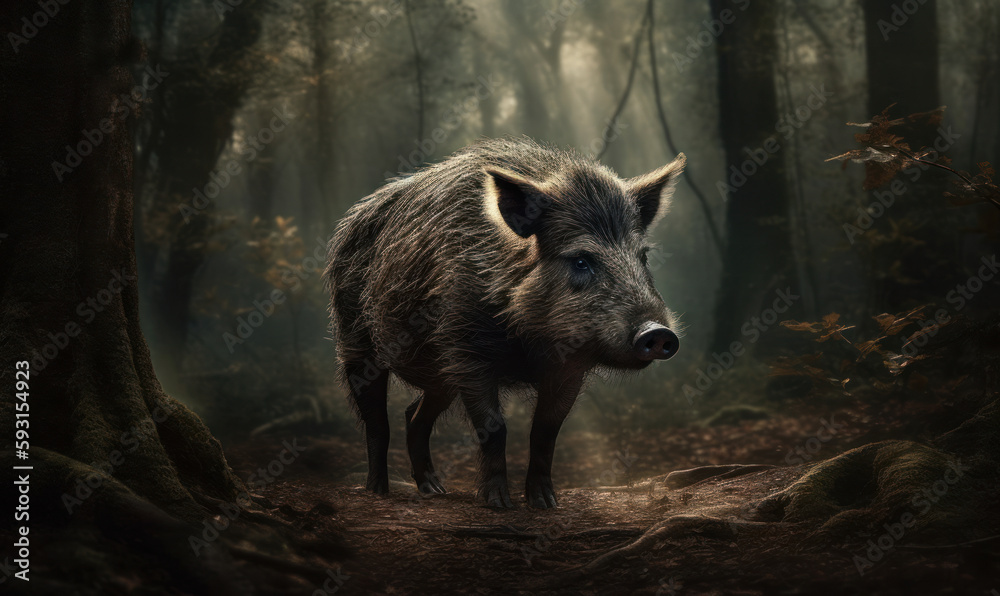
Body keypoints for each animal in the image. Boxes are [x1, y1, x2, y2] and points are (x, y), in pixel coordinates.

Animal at [326, 137, 683, 508]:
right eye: (581, 260)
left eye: (642, 257)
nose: (658, 332)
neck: (528, 342)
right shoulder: (466, 349)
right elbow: (494, 426)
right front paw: (497, 503)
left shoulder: (568, 369)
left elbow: (546, 431)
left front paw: (546, 504)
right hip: (354, 342)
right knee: (376, 421)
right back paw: (377, 490)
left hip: (440, 377)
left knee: (414, 414)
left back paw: (434, 490)